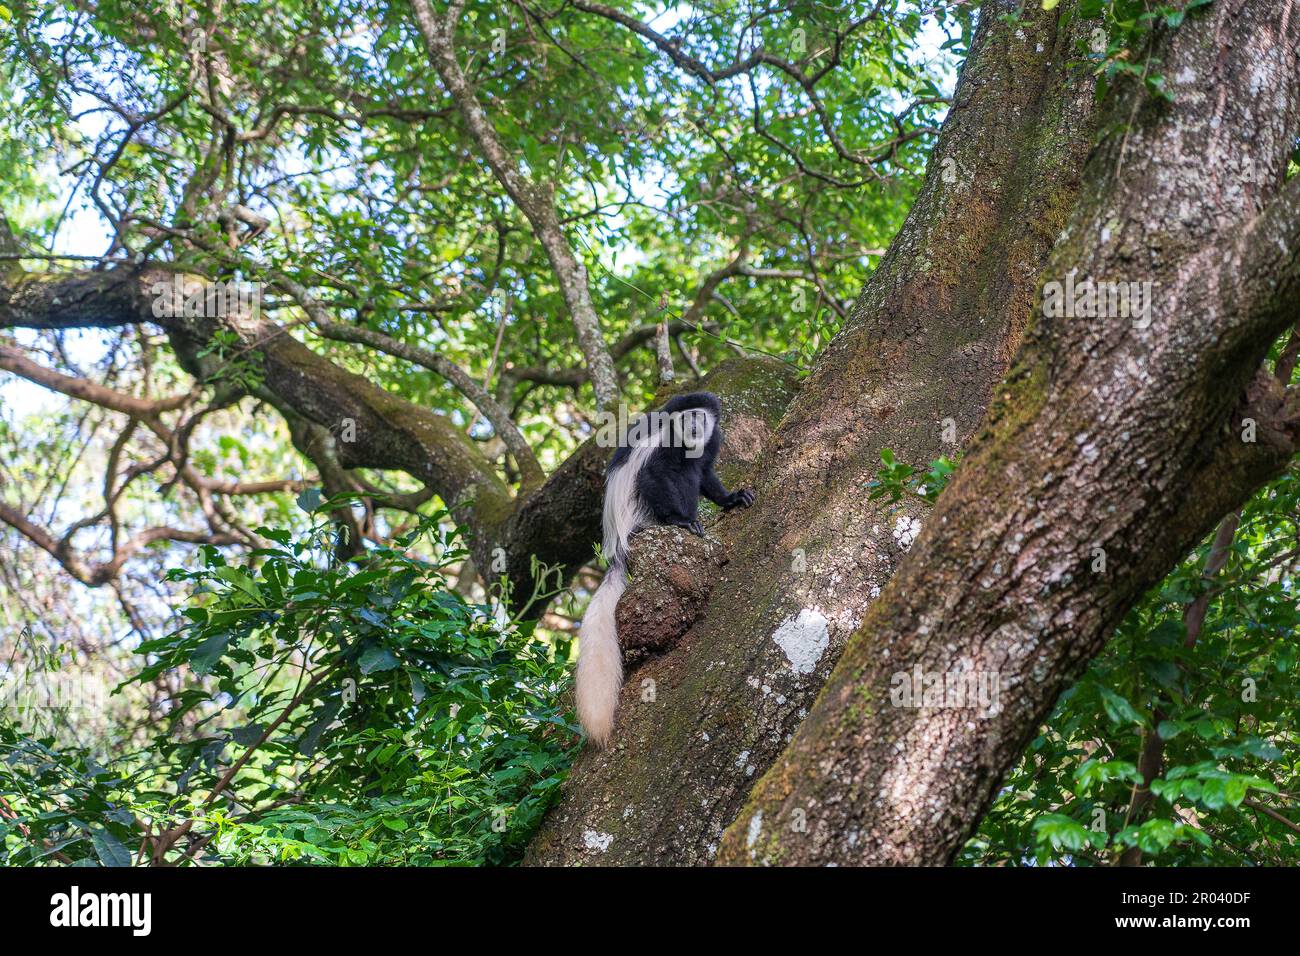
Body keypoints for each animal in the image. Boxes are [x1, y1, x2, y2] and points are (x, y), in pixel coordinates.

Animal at [574, 391, 754, 747]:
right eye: (687, 417)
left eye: (700, 415)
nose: (695, 425)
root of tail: (620, 542)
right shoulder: (666, 444)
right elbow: (656, 474)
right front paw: (680, 520)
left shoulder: (712, 440)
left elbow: (706, 471)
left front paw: (731, 498)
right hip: (641, 511)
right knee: (675, 475)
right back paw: (683, 521)